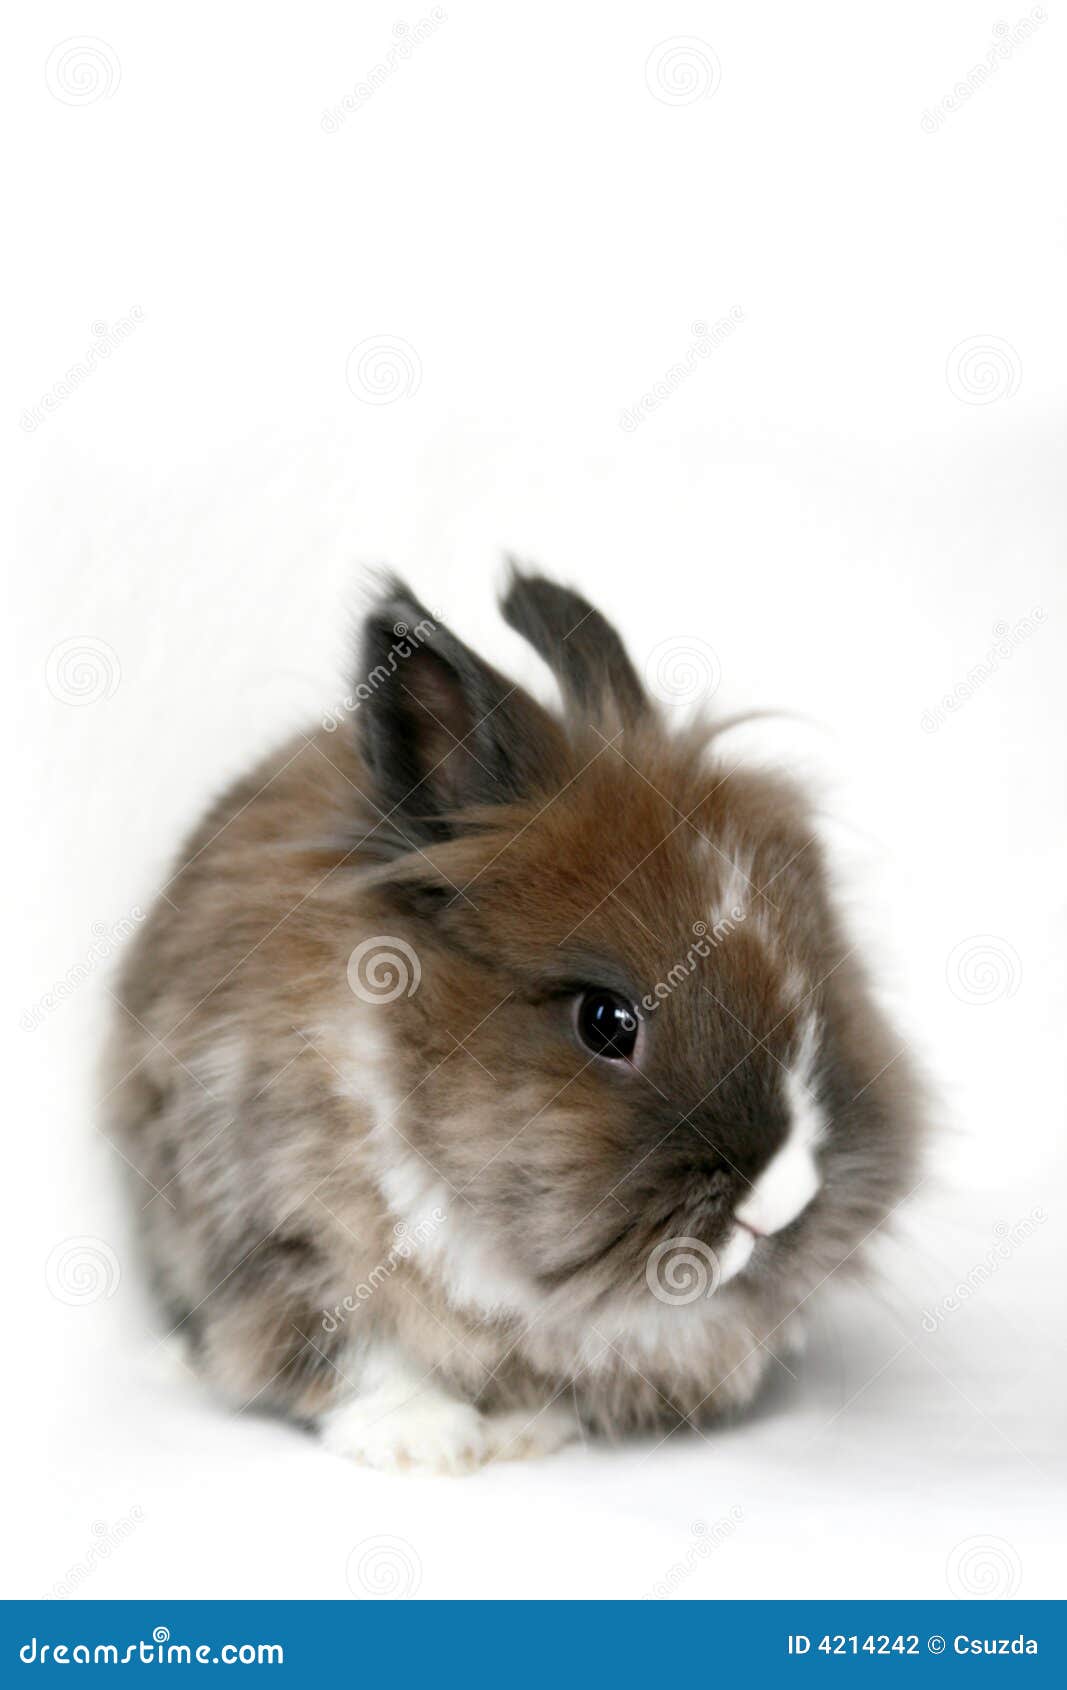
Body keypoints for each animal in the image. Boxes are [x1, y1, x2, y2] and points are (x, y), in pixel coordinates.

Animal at [104, 566, 923, 1474]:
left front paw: (528, 1431)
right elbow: (357, 1351)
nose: (779, 1202)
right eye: (606, 1022)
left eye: (826, 981)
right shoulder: (291, 1238)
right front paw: (421, 1443)